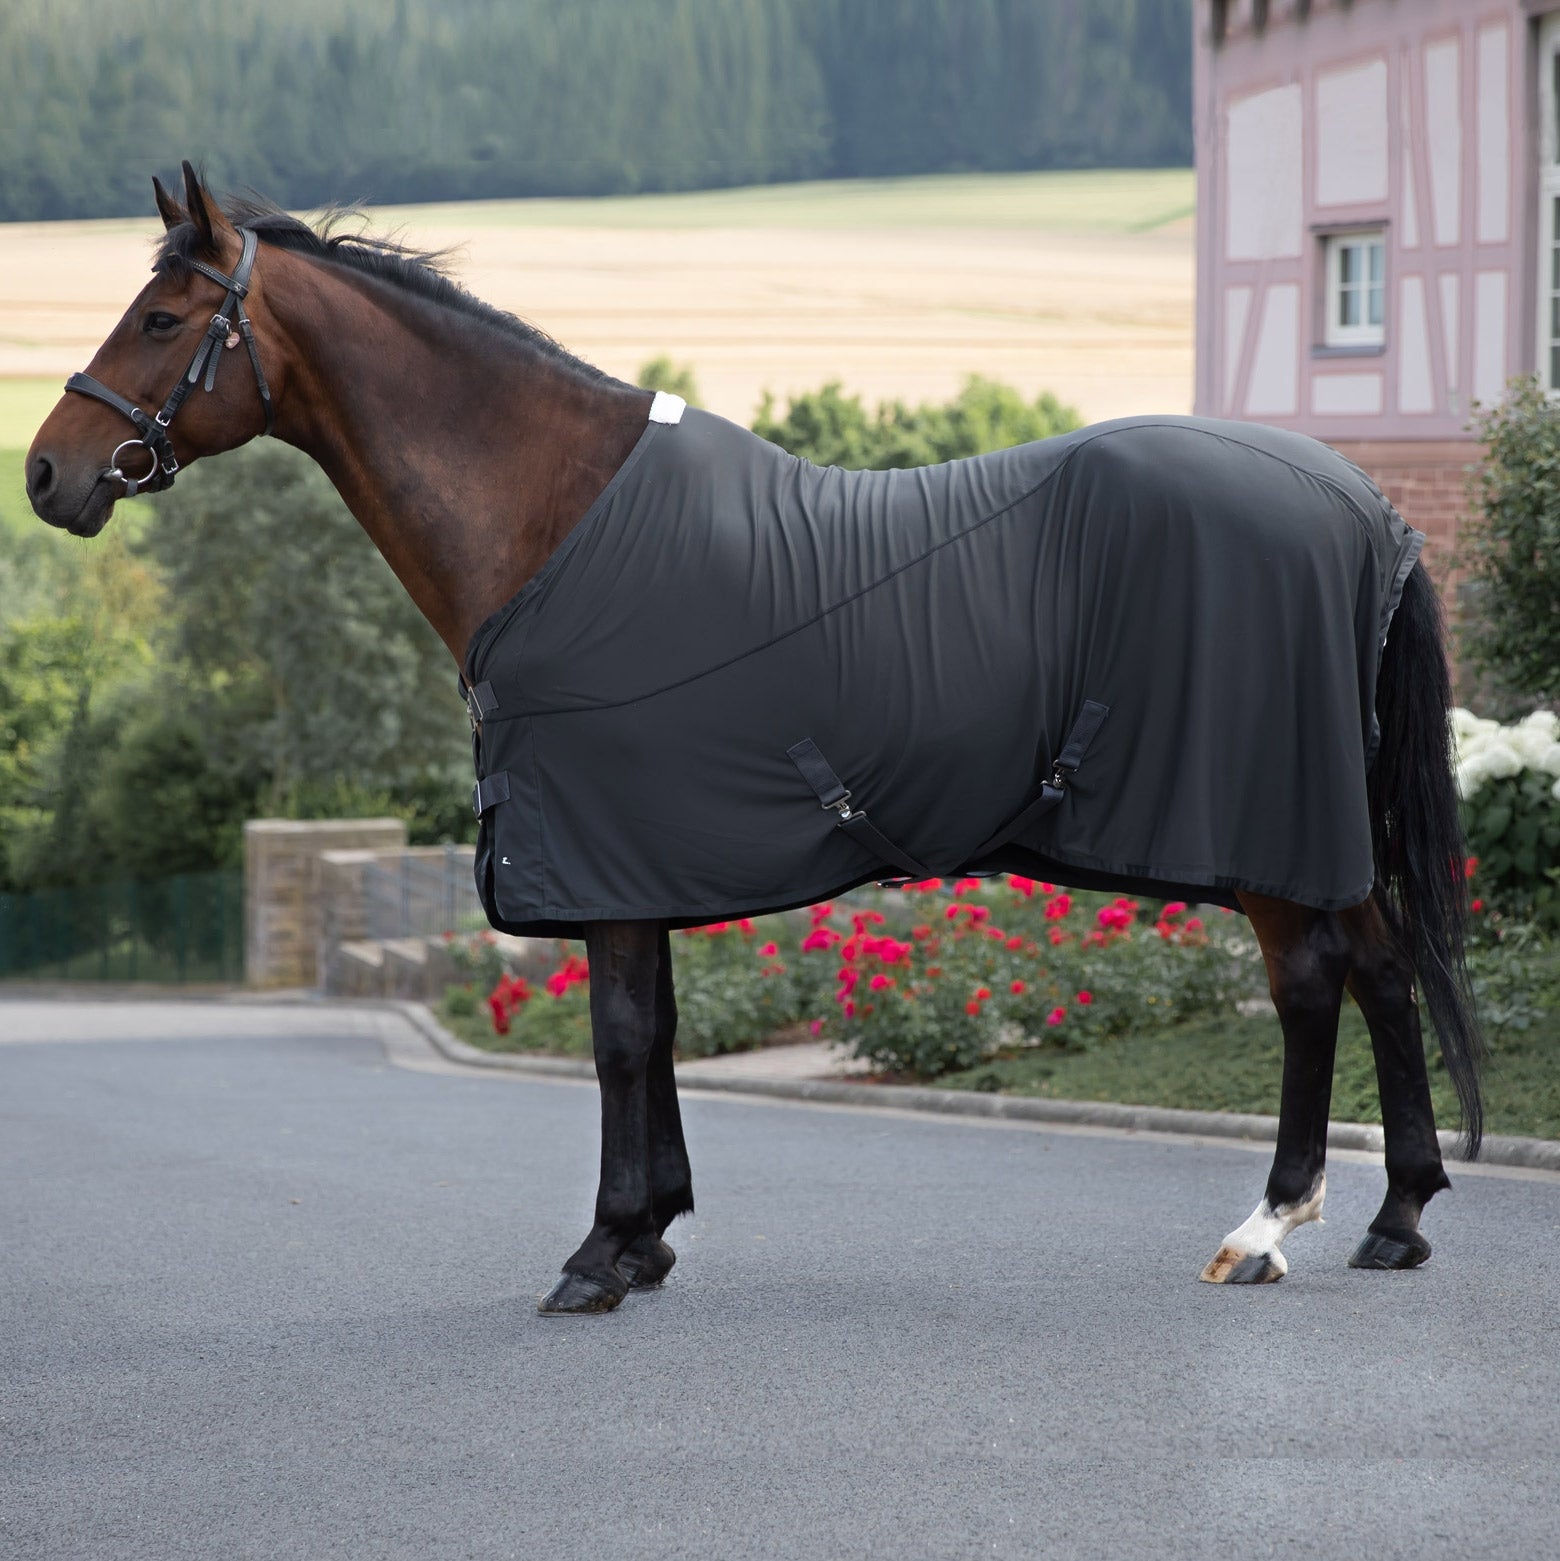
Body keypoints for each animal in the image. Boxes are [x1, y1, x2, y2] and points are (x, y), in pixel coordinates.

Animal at [25, 164, 1482, 1312]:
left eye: (161, 318)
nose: (48, 473)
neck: (551, 517)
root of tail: (1360, 505)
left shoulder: (606, 854)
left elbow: (619, 1036)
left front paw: (600, 1256)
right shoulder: (643, 857)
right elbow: (659, 1028)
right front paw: (650, 1236)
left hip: (1265, 827)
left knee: (1314, 982)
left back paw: (1271, 1225)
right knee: (1381, 963)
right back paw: (1396, 1216)